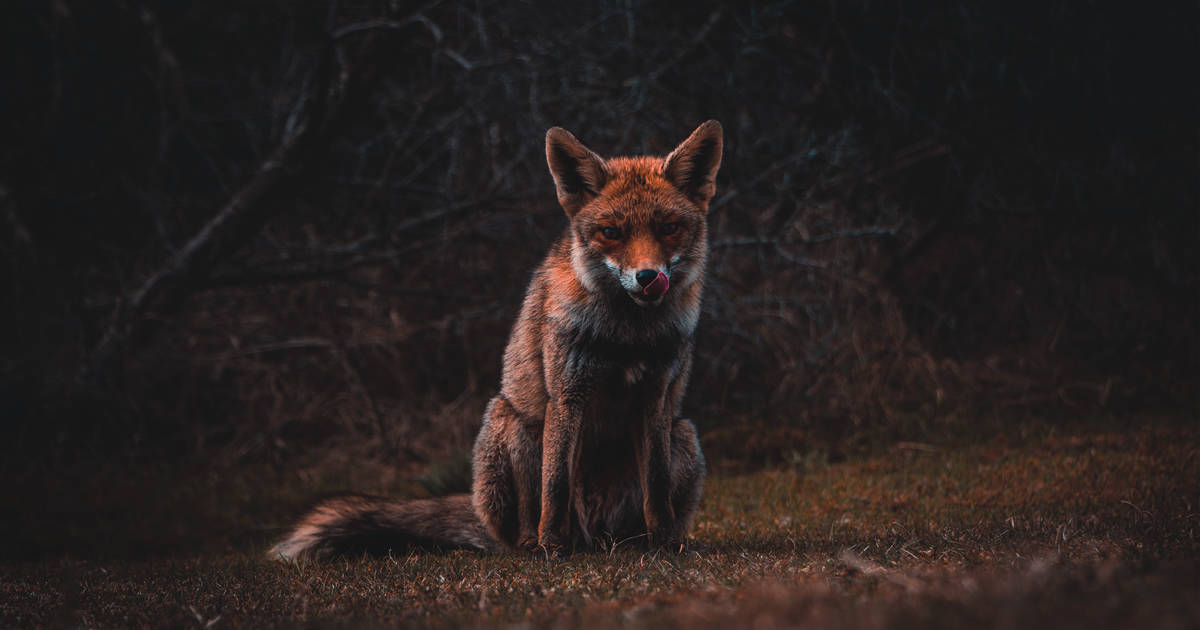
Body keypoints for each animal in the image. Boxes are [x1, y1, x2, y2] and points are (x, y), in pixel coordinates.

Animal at [271, 120, 723, 560]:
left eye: (669, 228)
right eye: (611, 232)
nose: (648, 277)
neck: (627, 336)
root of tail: (598, 537)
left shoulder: (656, 399)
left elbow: (656, 487)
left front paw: (665, 544)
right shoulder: (568, 394)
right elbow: (555, 486)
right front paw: (552, 547)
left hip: (683, 434)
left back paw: (641, 542)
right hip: (512, 425)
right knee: (528, 521)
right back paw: (538, 545)